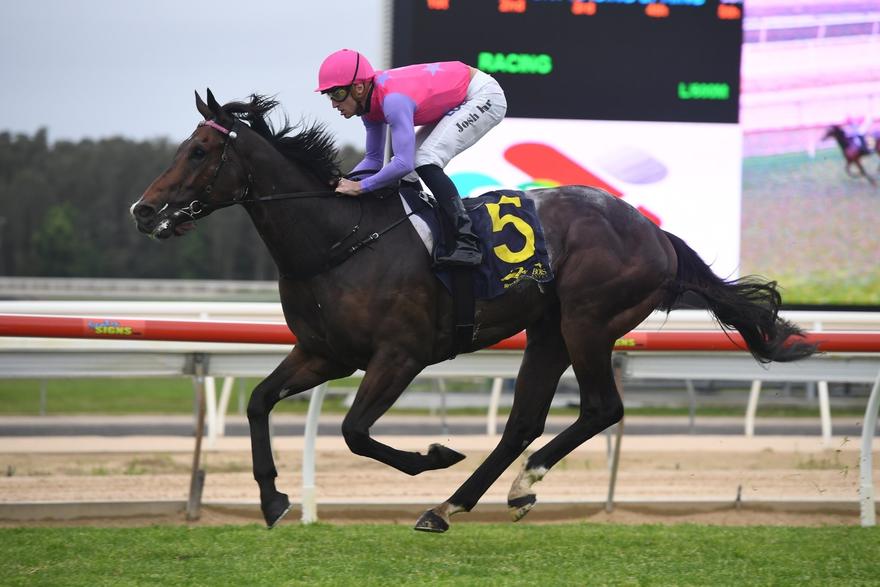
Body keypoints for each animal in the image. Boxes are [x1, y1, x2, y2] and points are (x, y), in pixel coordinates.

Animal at [130, 90, 815, 533]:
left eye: (198, 152)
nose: (143, 209)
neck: (338, 240)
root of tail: (655, 233)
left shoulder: (400, 356)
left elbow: (354, 432)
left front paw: (433, 455)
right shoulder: (324, 353)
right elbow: (257, 402)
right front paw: (273, 500)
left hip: (587, 321)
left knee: (602, 407)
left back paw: (511, 486)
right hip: (547, 330)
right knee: (524, 421)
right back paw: (454, 505)